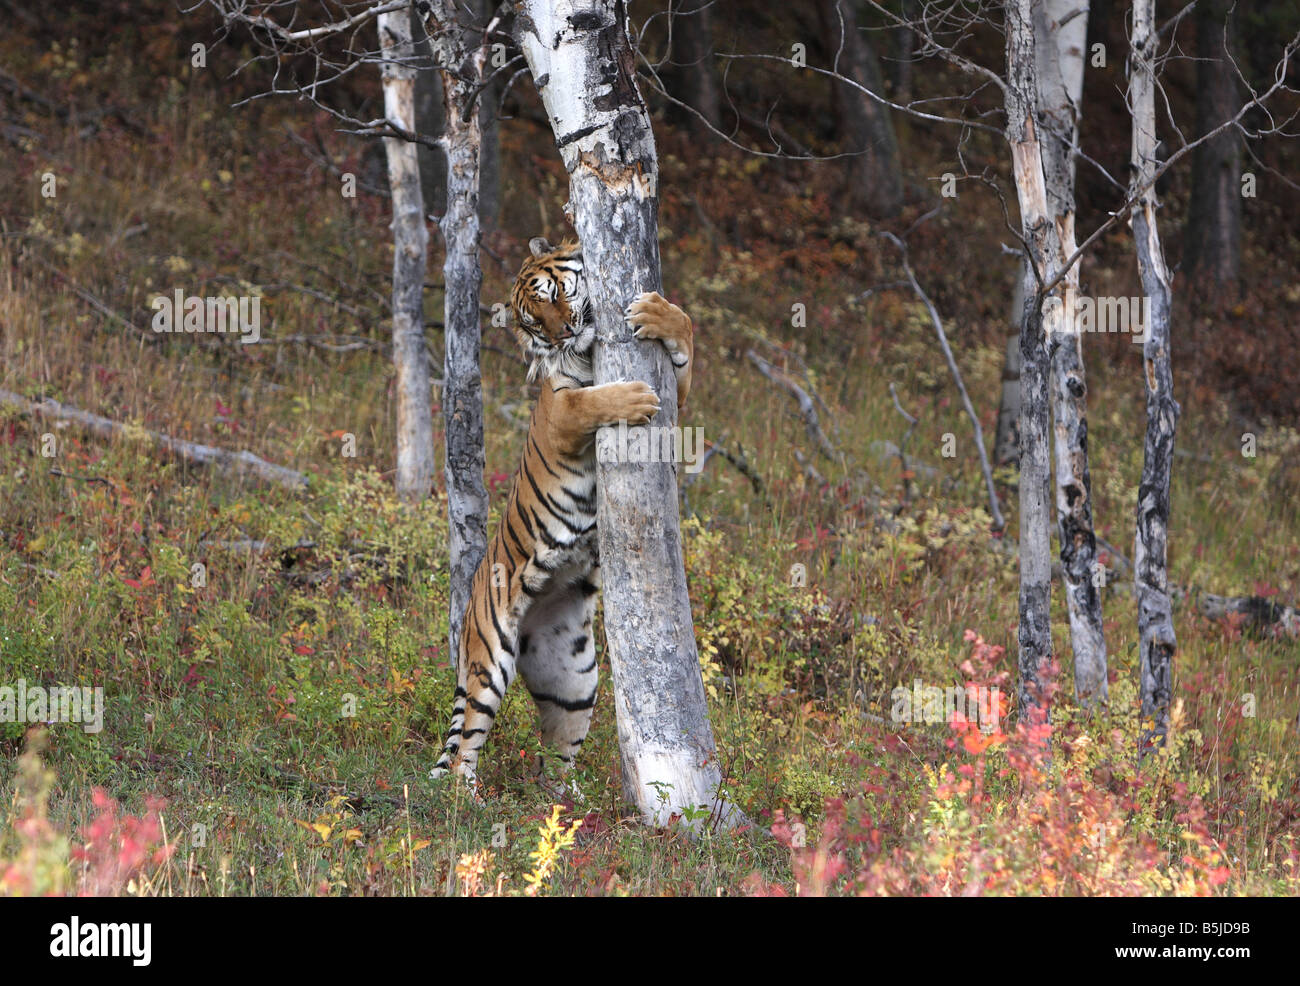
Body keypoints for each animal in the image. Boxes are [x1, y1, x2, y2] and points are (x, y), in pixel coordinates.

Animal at [430, 236, 694, 792]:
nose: (564, 333)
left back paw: (567, 802)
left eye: (554, 294)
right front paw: (634, 396)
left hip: (574, 680)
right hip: (489, 660)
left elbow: (687, 335)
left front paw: (658, 313)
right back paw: (470, 798)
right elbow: (592, 402)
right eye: (534, 323)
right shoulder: (560, 413)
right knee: (464, 747)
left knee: (553, 758)